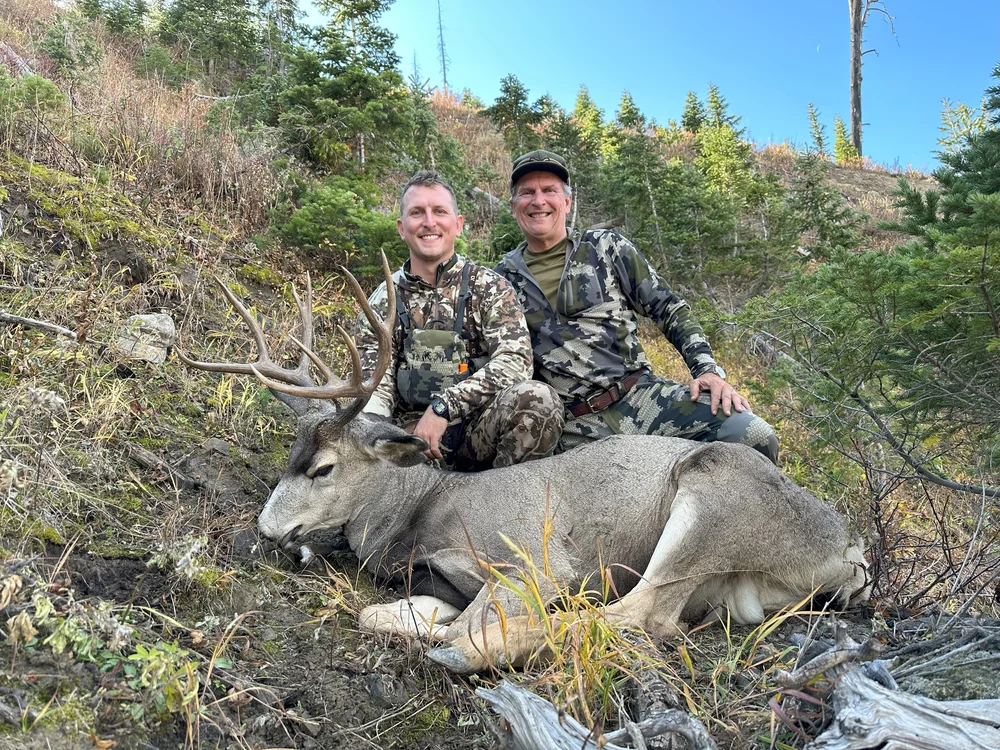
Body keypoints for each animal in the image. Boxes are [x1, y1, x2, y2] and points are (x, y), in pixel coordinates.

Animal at [179, 257, 870, 674]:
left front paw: (464, 636)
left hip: (714, 498)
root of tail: (851, 551)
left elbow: (477, 611)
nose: (268, 529)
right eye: (290, 458)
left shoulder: (532, 559)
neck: (419, 513)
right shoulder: (437, 581)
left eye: (321, 468)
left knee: (640, 615)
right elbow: (381, 612)